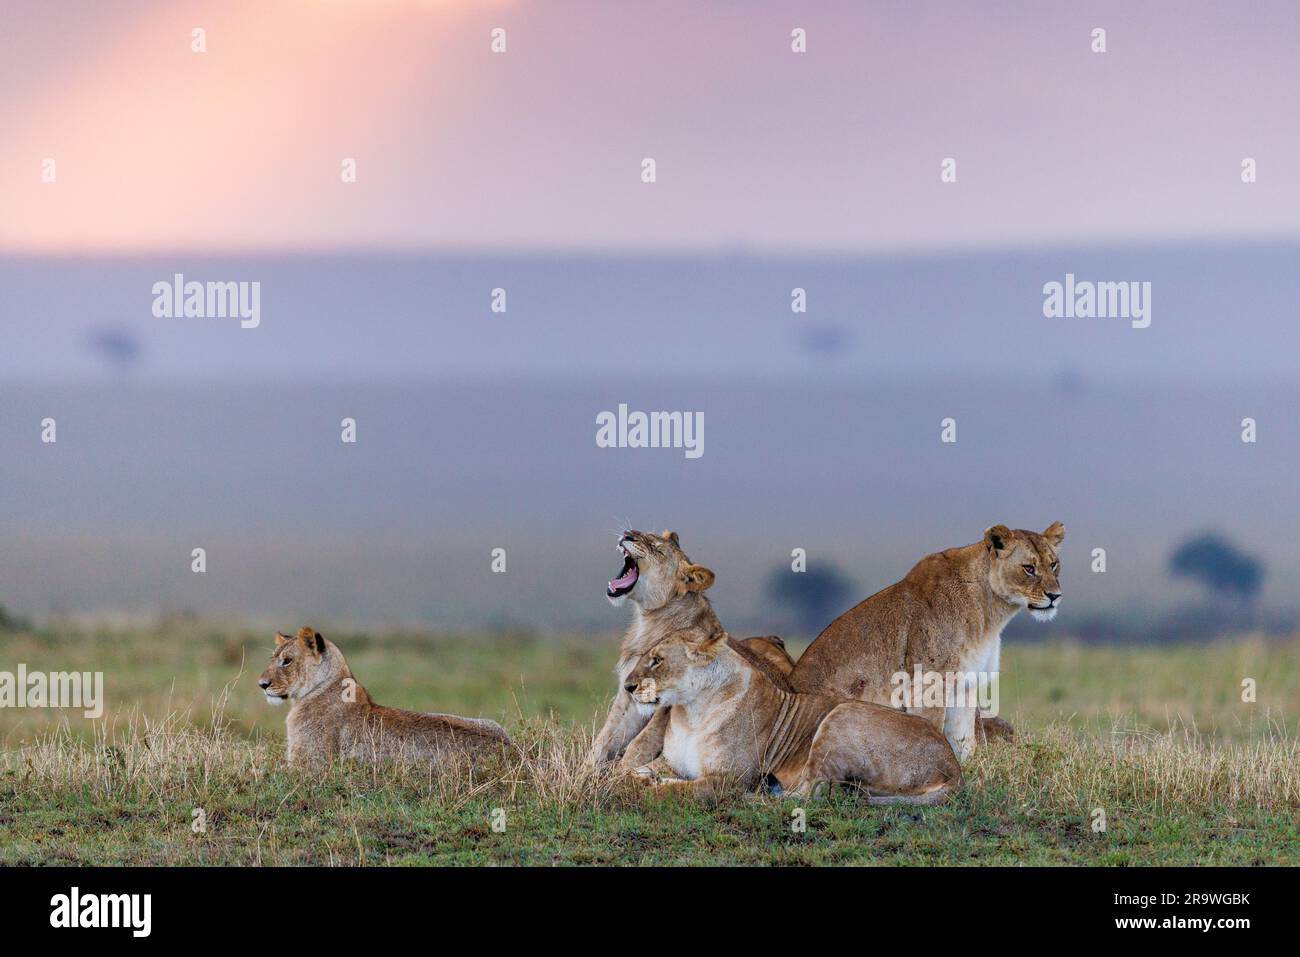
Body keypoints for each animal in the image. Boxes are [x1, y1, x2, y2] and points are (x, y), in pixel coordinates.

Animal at [588, 529, 794, 768]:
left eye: (658, 549)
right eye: (643, 533)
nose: (627, 534)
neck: (648, 622)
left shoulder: (665, 703)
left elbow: (638, 745)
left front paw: (620, 773)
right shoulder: (629, 693)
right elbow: (603, 741)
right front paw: (587, 774)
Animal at [624, 626, 962, 803]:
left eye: (657, 660)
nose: (628, 686)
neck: (690, 711)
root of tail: (953, 768)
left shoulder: (730, 778)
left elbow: (687, 790)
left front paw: (651, 788)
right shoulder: (674, 764)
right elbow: (636, 771)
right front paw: (644, 776)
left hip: (842, 714)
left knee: (813, 792)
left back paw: (760, 794)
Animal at [789, 522, 1064, 761]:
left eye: (1054, 565)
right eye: (1029, 568)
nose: (1055, 596)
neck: (991, 613)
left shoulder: (965, 684)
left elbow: (965, 740)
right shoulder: (929, 684)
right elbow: (932, 731)